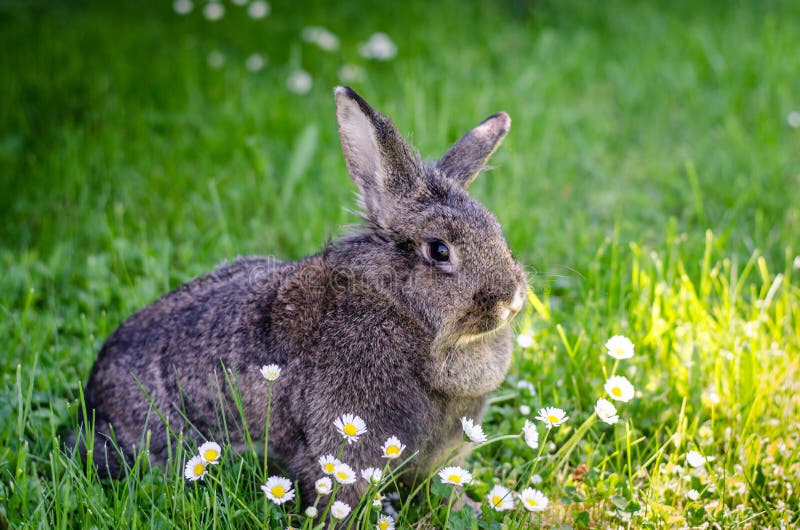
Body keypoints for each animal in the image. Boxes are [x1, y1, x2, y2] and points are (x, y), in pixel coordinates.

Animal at [77, 86, 527, 507]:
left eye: (497, 231)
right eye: (438, 250)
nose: (512, 300)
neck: (403, 308)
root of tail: (94, 393)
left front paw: (467, 507)